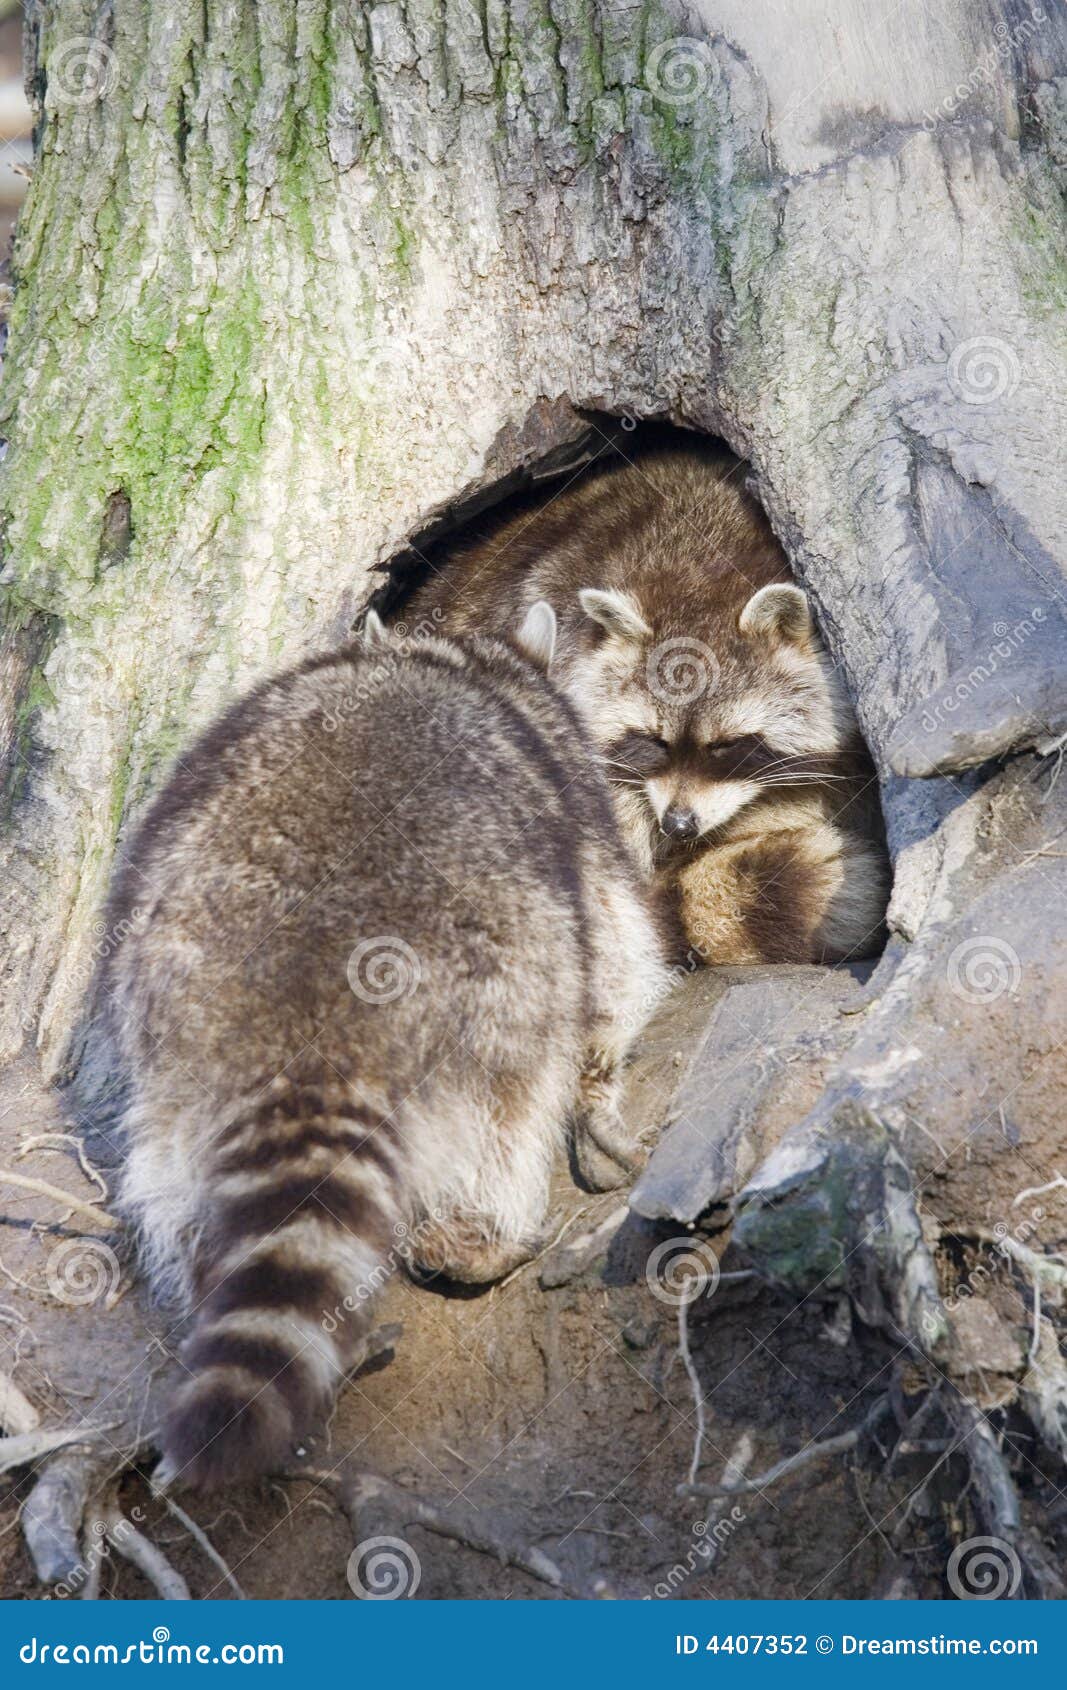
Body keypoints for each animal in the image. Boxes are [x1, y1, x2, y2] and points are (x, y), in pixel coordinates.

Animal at [100, 605, 666, 1489]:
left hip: (165, 1028)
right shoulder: (579, 819)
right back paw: (484, 1237)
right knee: (511, 1113)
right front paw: (600, 1075)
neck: (451, 659)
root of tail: (310, 1021)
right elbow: (622, 956)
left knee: (173, 1183)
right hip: (505, 981)